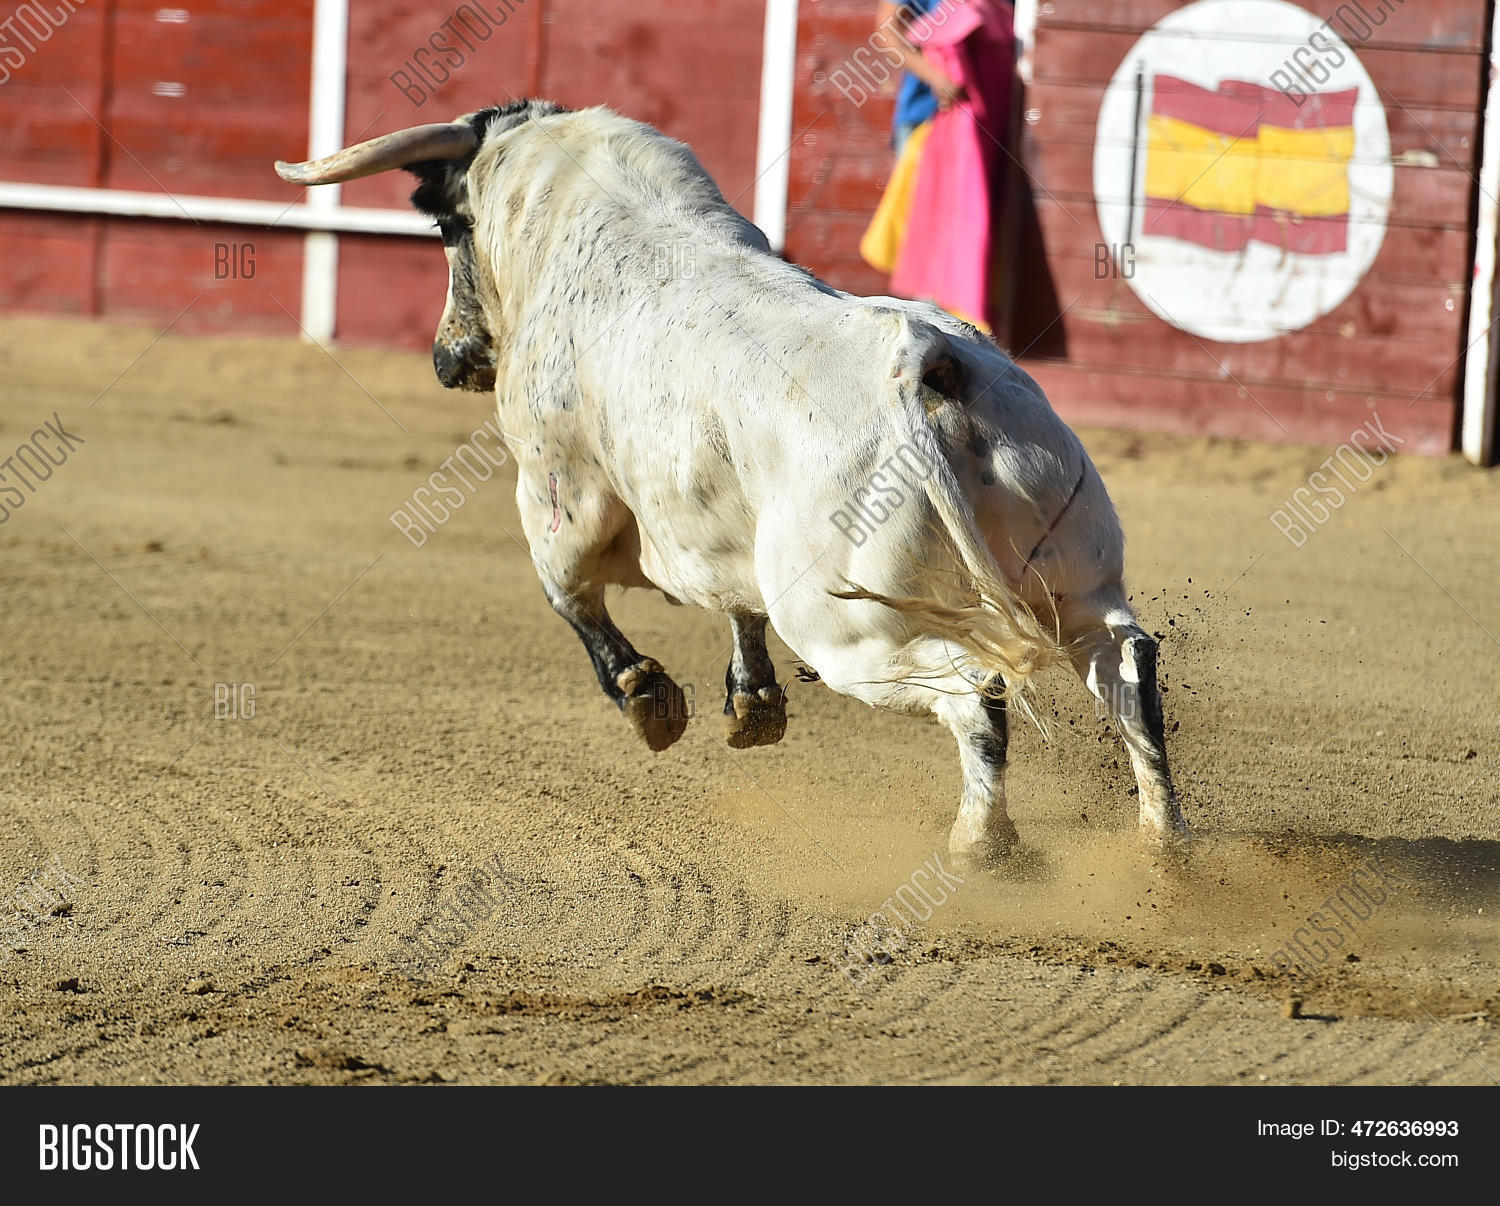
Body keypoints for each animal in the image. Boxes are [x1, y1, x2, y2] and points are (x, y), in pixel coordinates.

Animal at [275, 99, 1188, 865]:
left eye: (447, 226)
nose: (448, 356)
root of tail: (927, 365)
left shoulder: (557, 491)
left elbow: (571, 594)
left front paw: (649, 699)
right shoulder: (712, 525)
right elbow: (733, 600)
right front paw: (751, 703)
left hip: (846, 630)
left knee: (977, 694)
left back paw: (983, 847)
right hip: (1077, 574)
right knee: (1128, 668)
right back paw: (1163, 847)